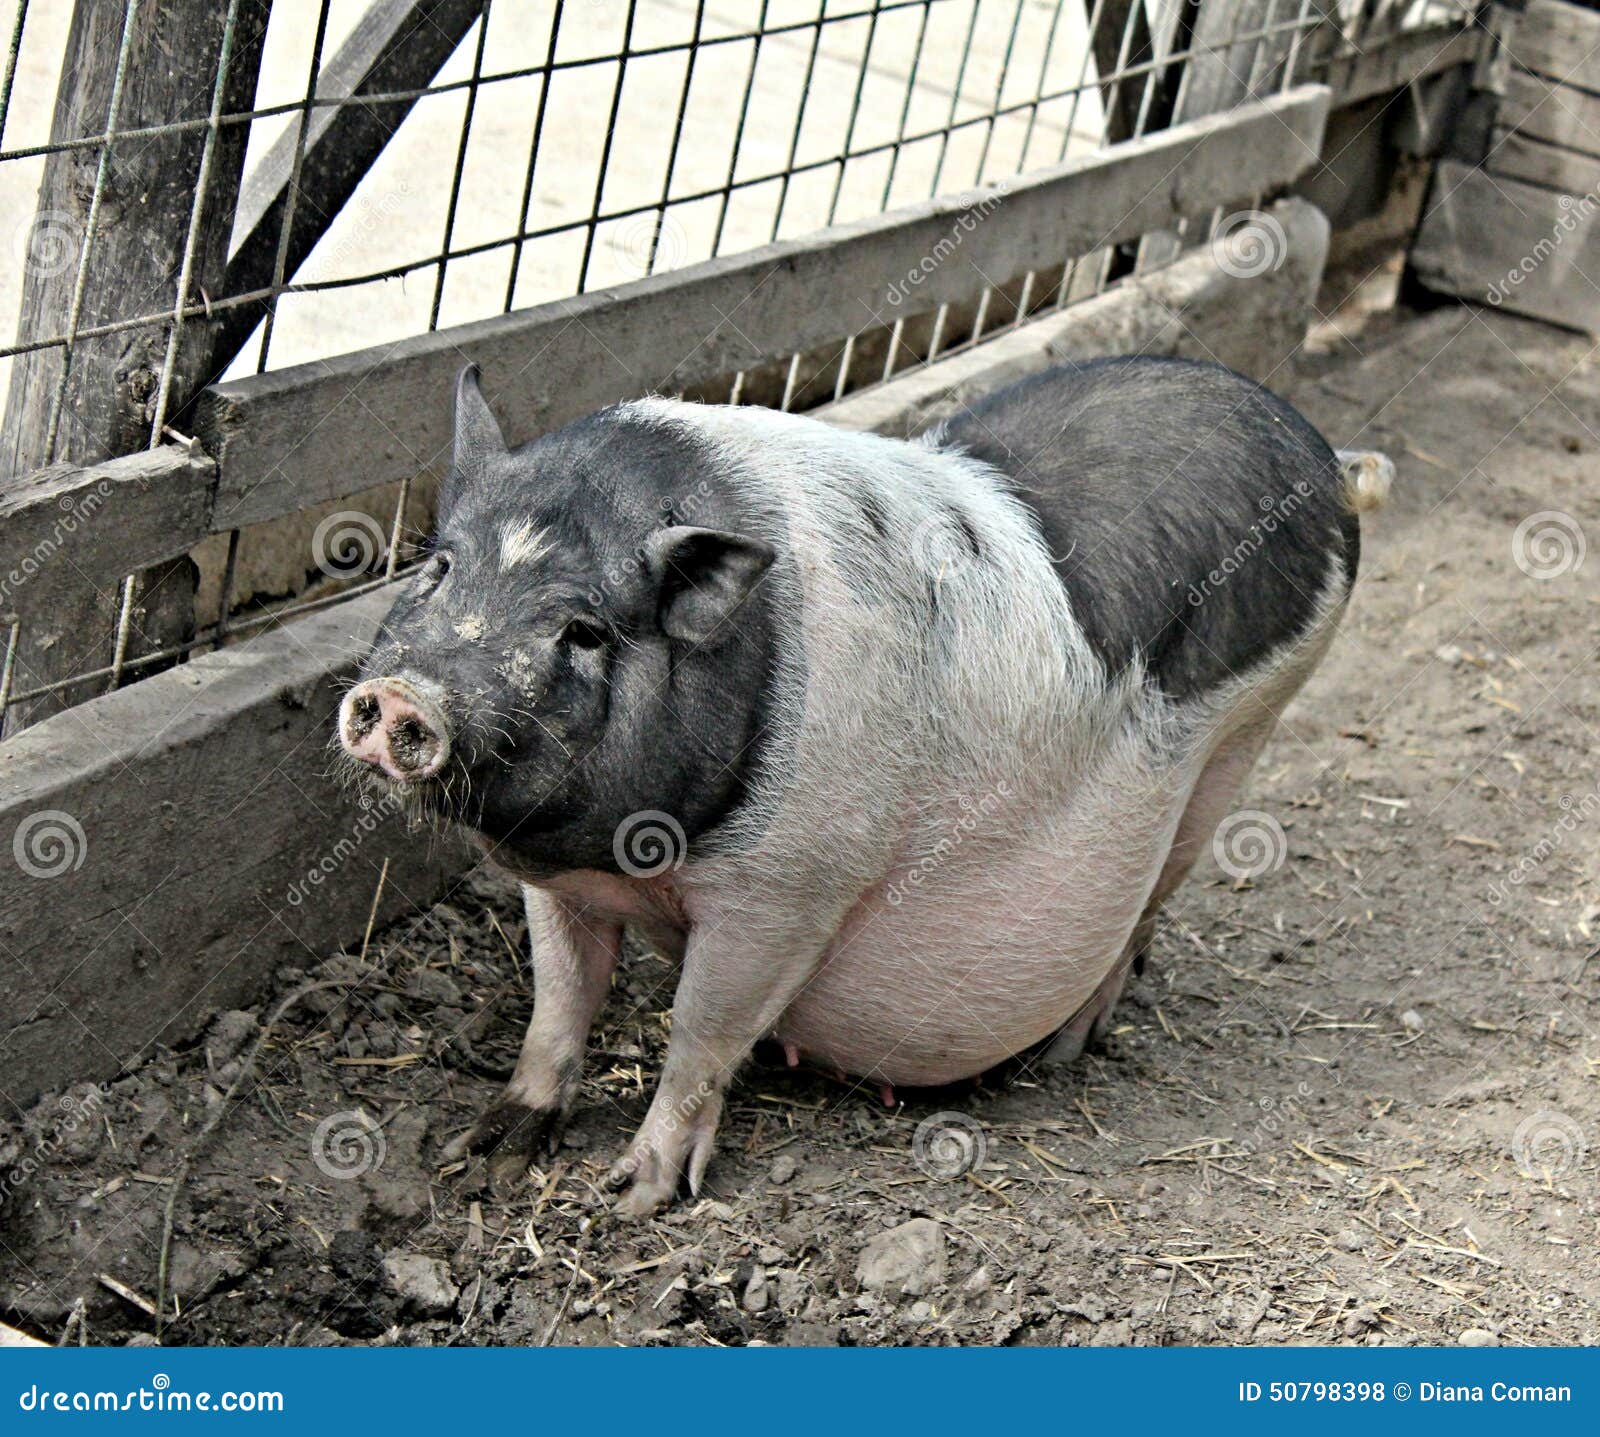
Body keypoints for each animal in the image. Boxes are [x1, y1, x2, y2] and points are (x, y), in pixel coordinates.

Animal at [337, 357, 1387, 1216]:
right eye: (438, 566)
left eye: (585, 630)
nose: (405, 697)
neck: (634, 861)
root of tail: (1322, 453)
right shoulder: (562, 885)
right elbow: (559, 1000)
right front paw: (480, 1155)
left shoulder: (790, 886)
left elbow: (702, 1029)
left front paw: (631, 1196)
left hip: (1245, 735)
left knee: (1147, 908)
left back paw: (1067, 1048)